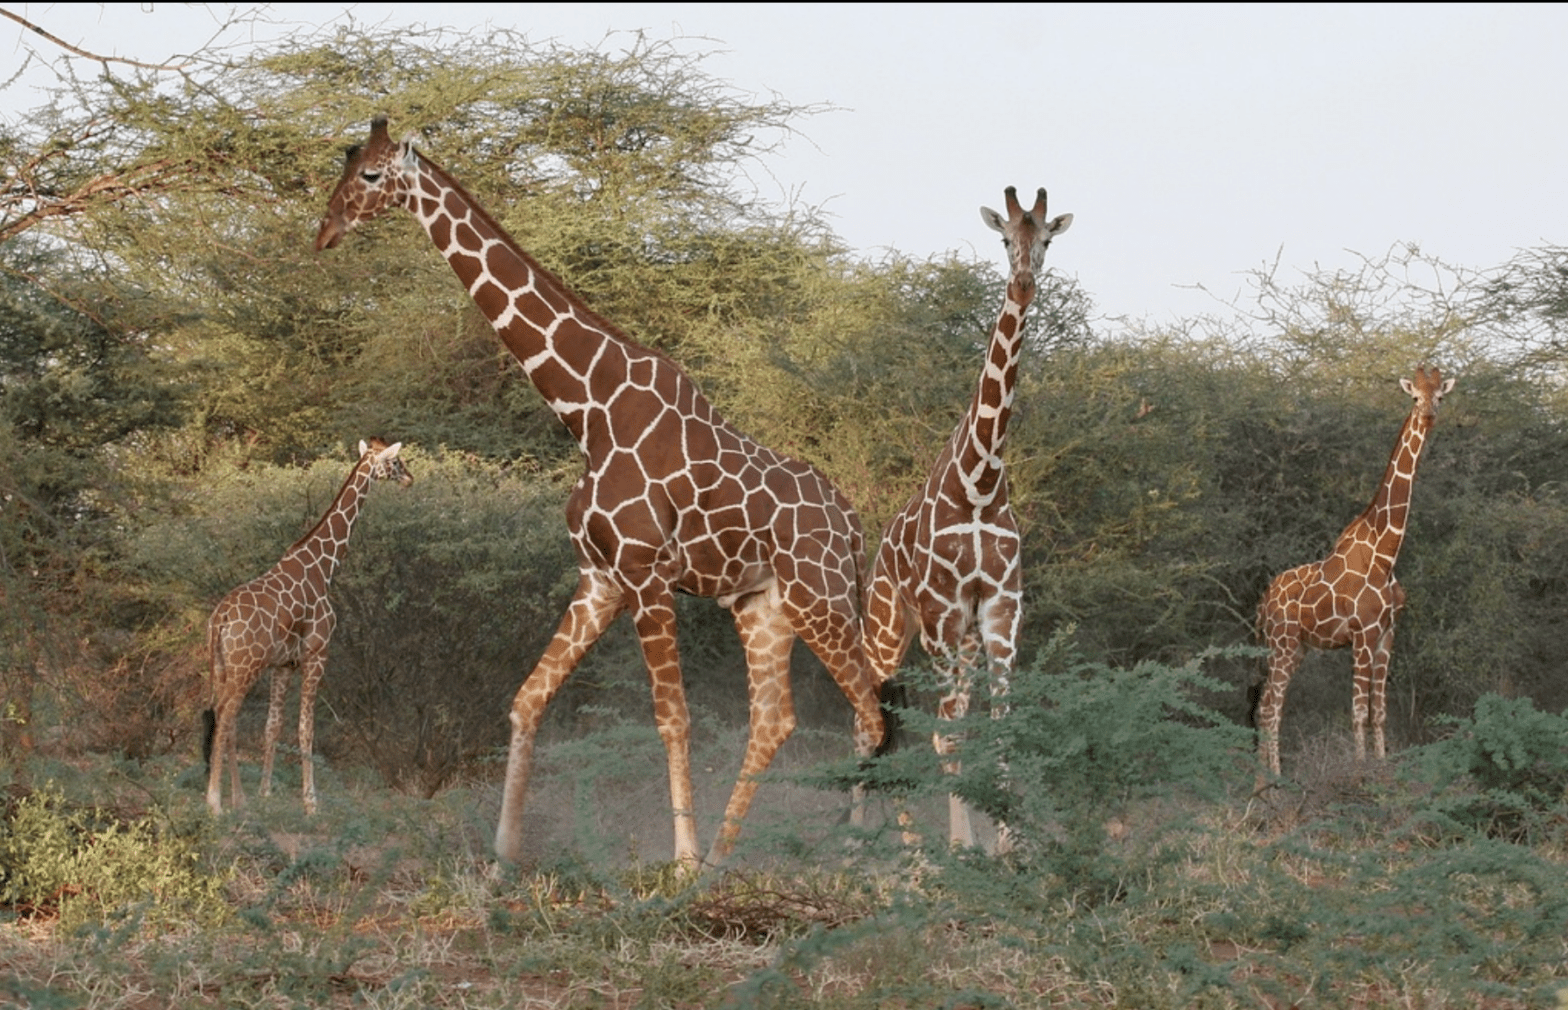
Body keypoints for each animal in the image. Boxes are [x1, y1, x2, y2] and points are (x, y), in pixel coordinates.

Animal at [205, 437, 413, 816]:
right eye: (396, 461)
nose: (409, 479)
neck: (323, 567)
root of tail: (220, 618)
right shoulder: (317, 653)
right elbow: (306, 729)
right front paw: (311, 802)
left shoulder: (284, 664)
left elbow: (273, 727)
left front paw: (265, 793)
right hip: (245, 667)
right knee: (225, 716)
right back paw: (215, 802)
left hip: (221, 666)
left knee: (225, 716)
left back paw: (238, 798)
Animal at [315, 117, 884, 868]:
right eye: (347, 161)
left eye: (374, 175)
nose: (324, 231)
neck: (588, 411)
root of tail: (851, 523)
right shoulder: (599, 577)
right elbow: (527, 700)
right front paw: (502, 859)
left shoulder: (646, 574)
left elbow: (673, 719)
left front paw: (678, 862)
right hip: (763, 605)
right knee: (779, 719)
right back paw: (727, 860)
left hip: (820, 596)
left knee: (871, 711)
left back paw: (863, 859)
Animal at [863, 187, 1071, 849]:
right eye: (1004, 238)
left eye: (1047, 238)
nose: (1024, 284)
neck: (978, 485)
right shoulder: (942, 613)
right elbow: (946, 731)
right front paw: (963, 847)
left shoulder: (1000, 610)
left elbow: (999, 724)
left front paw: (1010, 845)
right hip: (889, 627)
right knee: (873, 722)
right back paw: (878, 853)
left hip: (960, 639)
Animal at [1254, 366, 1455, 778]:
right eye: (1415, 397)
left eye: (1440, 396)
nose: (1428, 415)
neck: (1386, 554)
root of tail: (1263, 602)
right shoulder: (1363, 634)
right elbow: (1358, 712)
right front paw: (1361, 771)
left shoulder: (1387, 635)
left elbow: (1379, 713)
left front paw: (1383, 766)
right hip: (1282, 644)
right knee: (1270, 708)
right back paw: (1274, 778)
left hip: (1294, 648)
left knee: (1265, 704)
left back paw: (1260, 777)